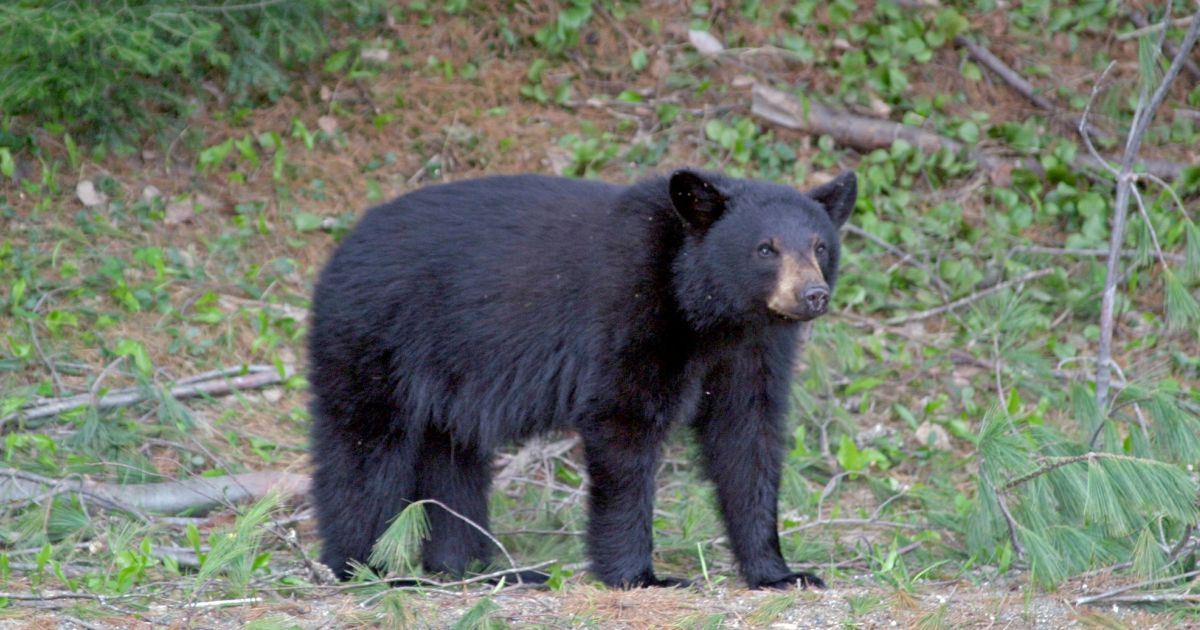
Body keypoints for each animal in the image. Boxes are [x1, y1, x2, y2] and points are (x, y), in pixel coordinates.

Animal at [307, 168, 856, 589]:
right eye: (766, 249)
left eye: (819, 247)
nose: (812, 295)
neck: (709, 311)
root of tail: (343, 246)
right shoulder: (629, 312)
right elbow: (623, 424)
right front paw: (640, 575)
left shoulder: (751, 352)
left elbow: (747, 439)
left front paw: (780, 572)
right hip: (378, 339)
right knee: (365, 449)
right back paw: (371, 569)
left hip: (450, 377)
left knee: (452, 457)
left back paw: (479, 569)